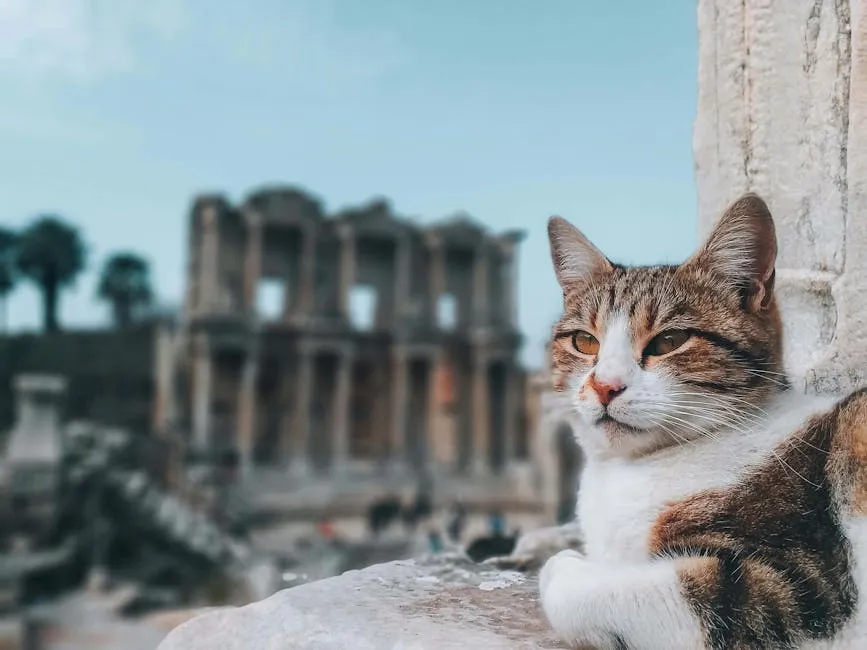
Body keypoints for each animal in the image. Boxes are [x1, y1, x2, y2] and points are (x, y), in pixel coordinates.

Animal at [540, 192, 867, 648]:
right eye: (585, 341)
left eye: (670, 341)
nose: (604, 386)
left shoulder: (800, 580)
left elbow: (564, 579)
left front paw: (569, 563)